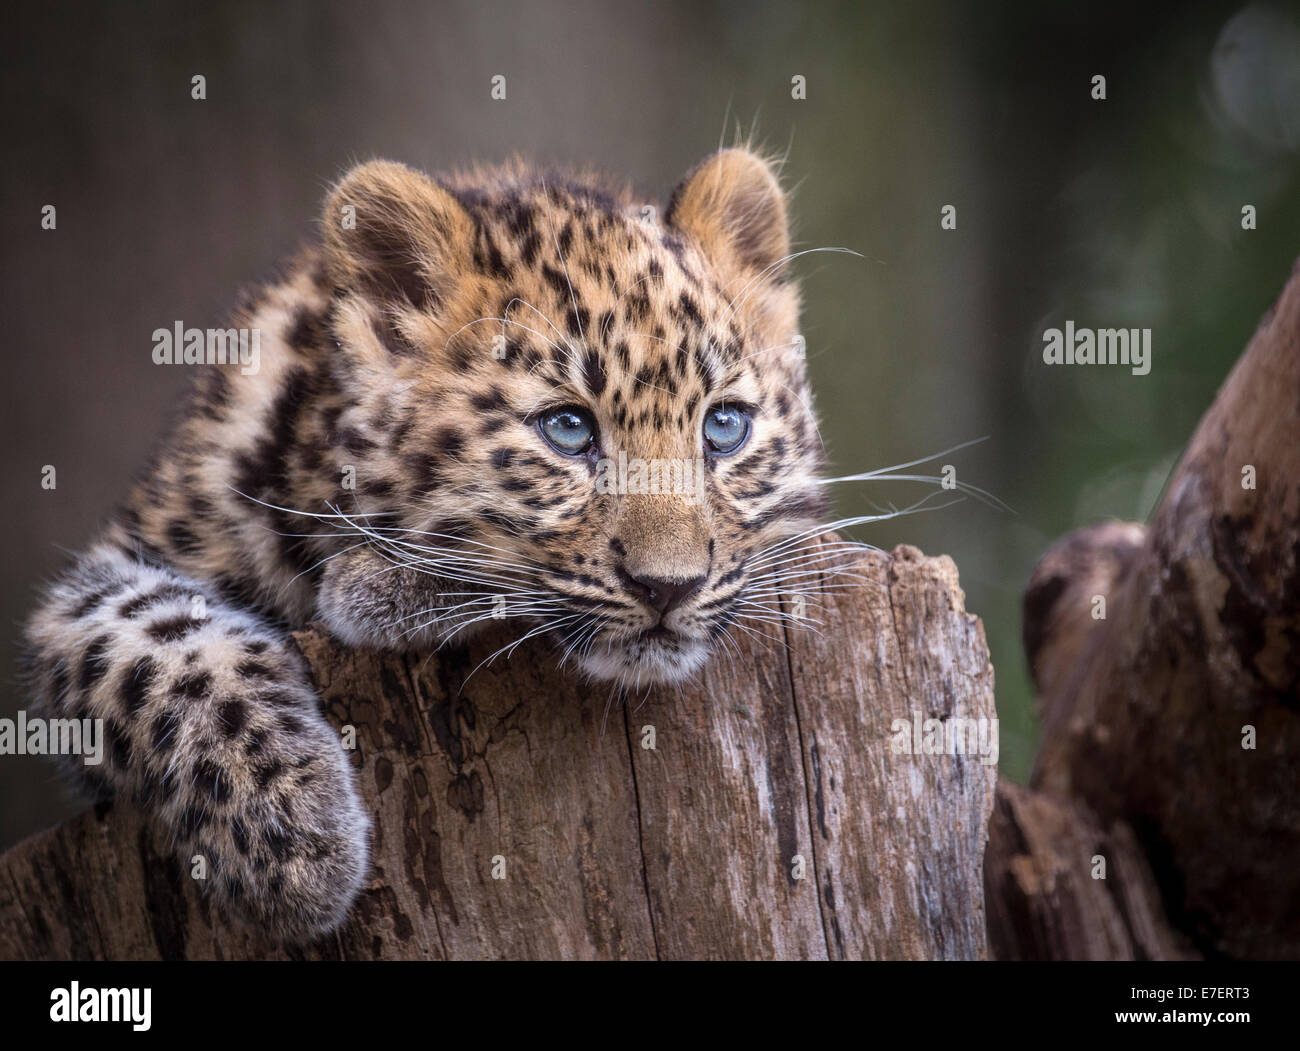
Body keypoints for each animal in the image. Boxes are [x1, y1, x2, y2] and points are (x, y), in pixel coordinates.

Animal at [22, 147, 840, 943]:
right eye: (567, 429)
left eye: (724, 426)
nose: (670, 586)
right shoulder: (105, 577)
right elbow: (153, 644)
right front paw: (292, 842)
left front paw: (386, 587)